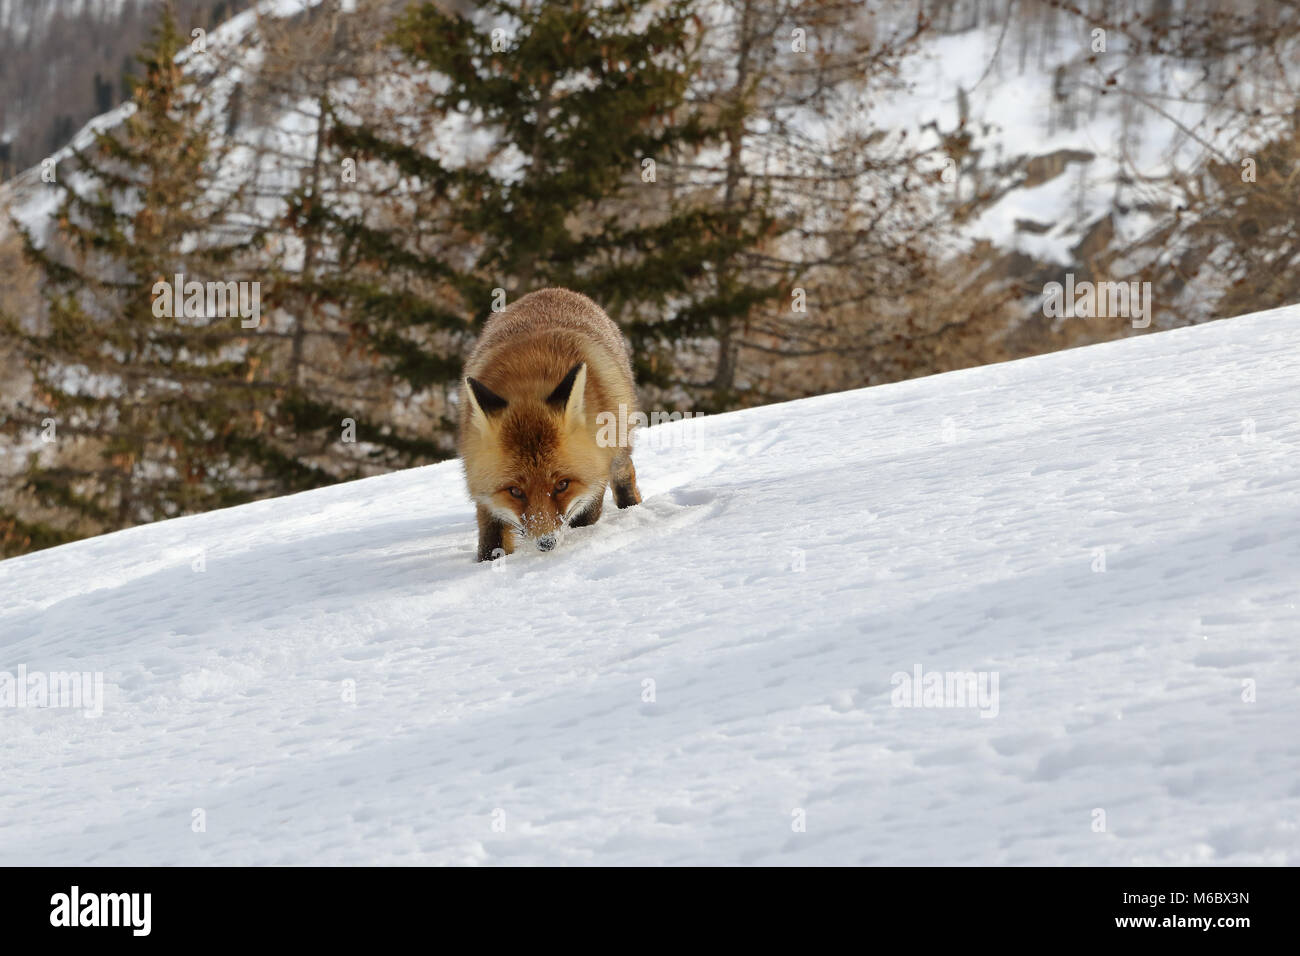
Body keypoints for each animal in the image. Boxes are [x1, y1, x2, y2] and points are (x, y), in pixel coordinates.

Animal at [459, 288, 643, 561]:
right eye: (515, 491)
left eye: (562, 485)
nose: (546, 543)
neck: (529, 375)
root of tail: (553, 290)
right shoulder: (484, 489)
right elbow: (492, 541)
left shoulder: (595, 472)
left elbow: (586, 514)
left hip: (617, 443)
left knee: (624, 471)